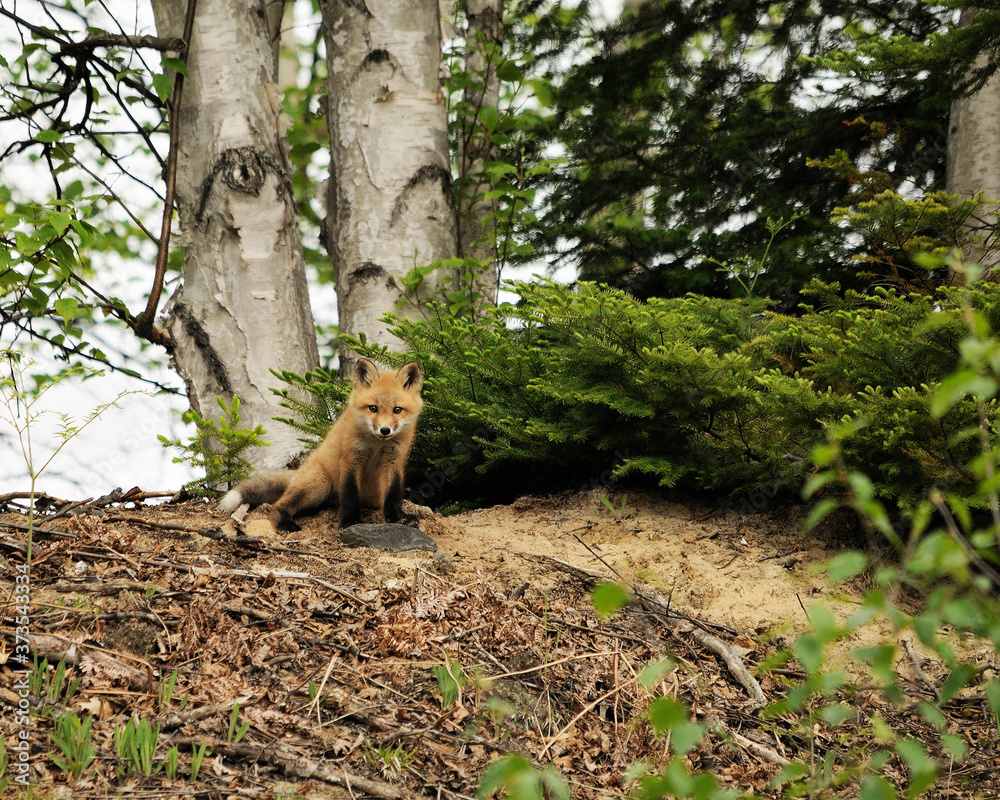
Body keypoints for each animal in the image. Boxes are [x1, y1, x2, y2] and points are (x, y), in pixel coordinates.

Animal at [218, 358, 424, 531]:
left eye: (397, 410)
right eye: (373, 408)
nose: (384, 430)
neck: (376, 445)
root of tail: (299, 471)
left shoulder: (393, 462)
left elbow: (393, 496)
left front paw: (398, 519)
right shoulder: (350, 459)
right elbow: (350, 495)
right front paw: (350, 522)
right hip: (317, 486)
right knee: (276, 506)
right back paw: (285, 524)